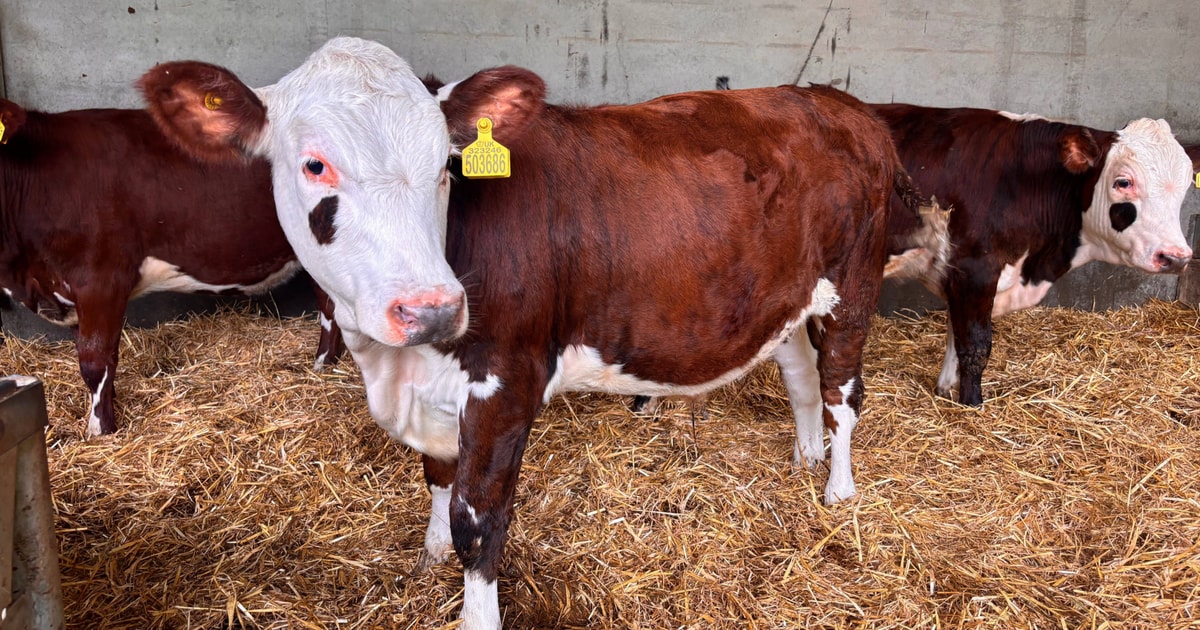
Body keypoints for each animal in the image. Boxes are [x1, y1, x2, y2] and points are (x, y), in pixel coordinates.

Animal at [137, 37, 946, 629]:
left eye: (445, 166)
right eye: (314, 163)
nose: (431, 308)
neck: (397, 371)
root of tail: (839, 102)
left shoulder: (508, 379)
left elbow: (478, 517)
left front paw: (473, 609)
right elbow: (437, 481)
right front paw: (428, 557)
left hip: (855, 281)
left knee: (843, 386)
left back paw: (838, 489)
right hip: (785, 292)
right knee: (801, 371)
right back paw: (807, 457)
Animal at [875, 104, 1199, 406]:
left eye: (1185, 188)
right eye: (1123, 182)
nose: (1176, 257)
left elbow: (956, 335)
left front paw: (945, 390)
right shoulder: (975, 270)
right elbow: (975, 346)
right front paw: (972, 404)